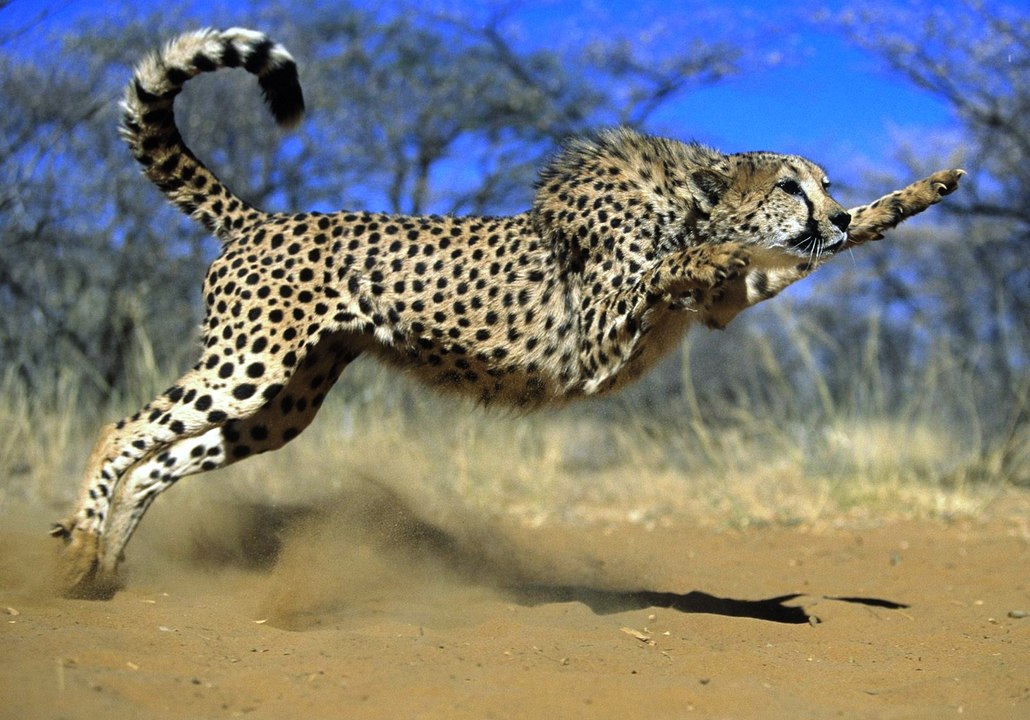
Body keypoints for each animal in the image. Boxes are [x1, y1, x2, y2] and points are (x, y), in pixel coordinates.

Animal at [51, 28, 964, 599]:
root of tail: (260, 216)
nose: (829, 214)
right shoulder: (597, 327)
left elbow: (798, 257)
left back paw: (107, 567)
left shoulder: (728, 304)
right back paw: (81, 550)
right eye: (788, 186)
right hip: (249, 365)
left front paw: (920, 193)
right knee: (122, 430)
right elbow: (674, 269)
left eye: (827, 185)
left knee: (162, 460)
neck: (688, 206)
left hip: (284, 403)